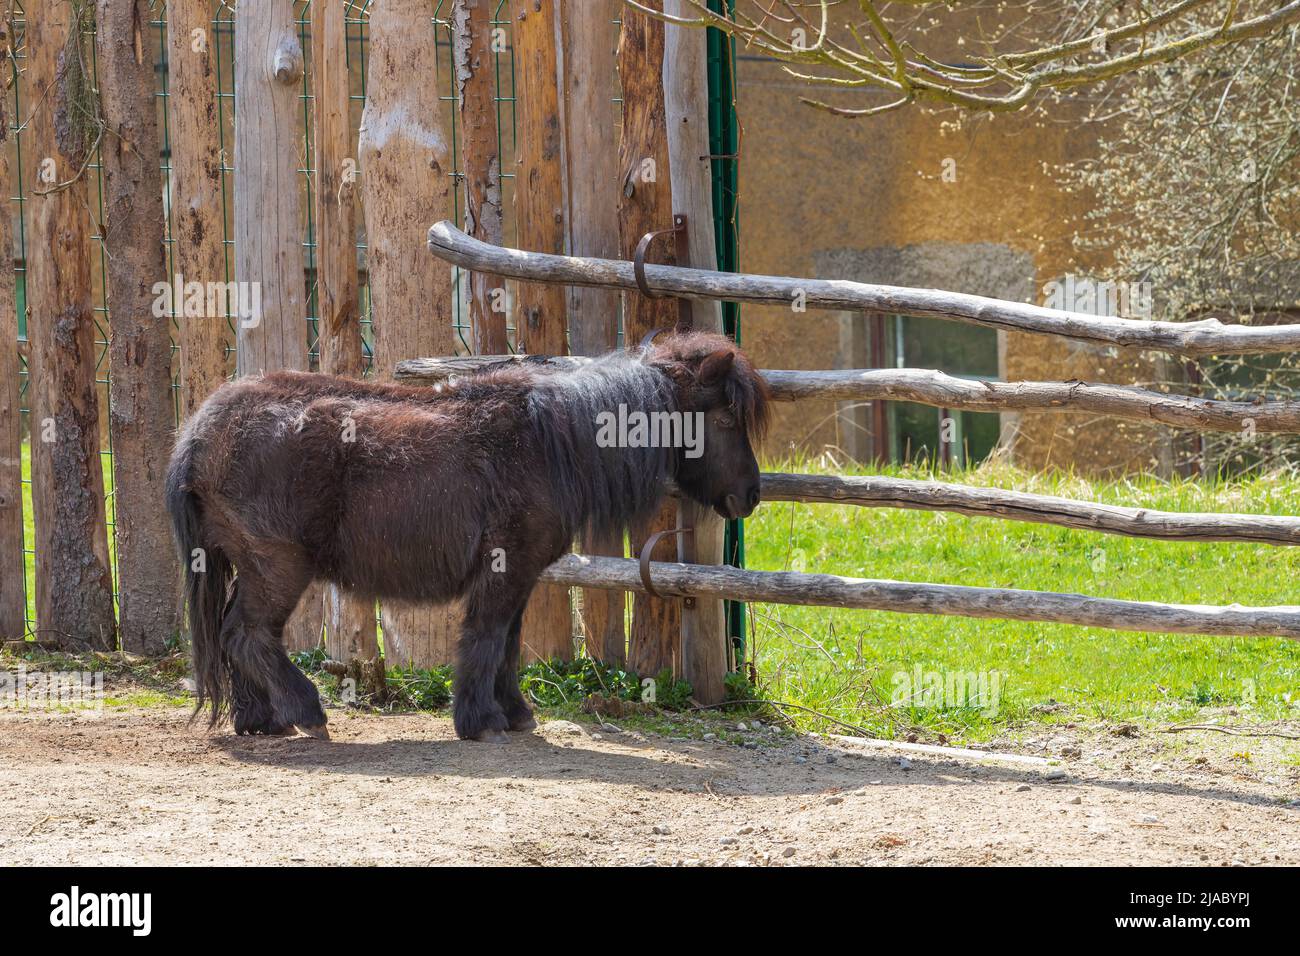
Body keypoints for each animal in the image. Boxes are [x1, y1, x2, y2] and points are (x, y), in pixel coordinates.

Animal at [166, 331, 769, 742]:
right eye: (723, 419)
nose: (752, 495)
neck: (554, 439)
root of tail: (199, 432)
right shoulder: (505, 568)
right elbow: (486, 637)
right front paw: (481, 720)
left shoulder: (523, 575)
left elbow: (508, 645)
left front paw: (514, 713)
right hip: (276, 566)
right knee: (247, 634)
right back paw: (306, 711)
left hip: (248, 566)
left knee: (231, 634)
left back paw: (260, 720)